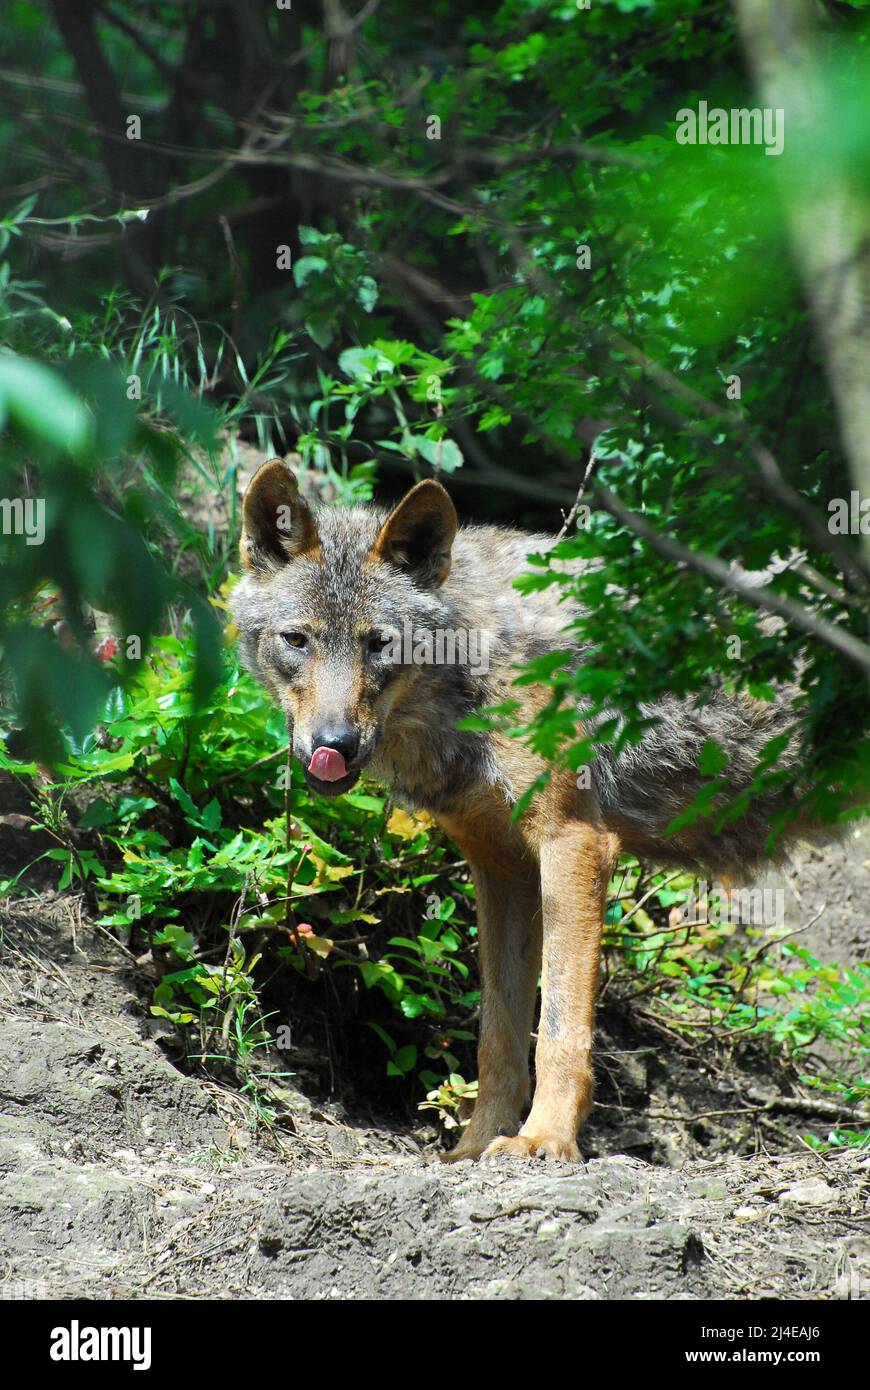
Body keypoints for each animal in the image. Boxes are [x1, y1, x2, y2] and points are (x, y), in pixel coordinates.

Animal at [231, 457, 816, 1163]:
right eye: (297, 640)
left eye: (379, 645)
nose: (333, 745)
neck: (478, 674)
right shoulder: (502, 867)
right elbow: (500, 1036)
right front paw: (475, 1145)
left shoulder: (575, 844)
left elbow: (560, 1027)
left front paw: (545, 1140)